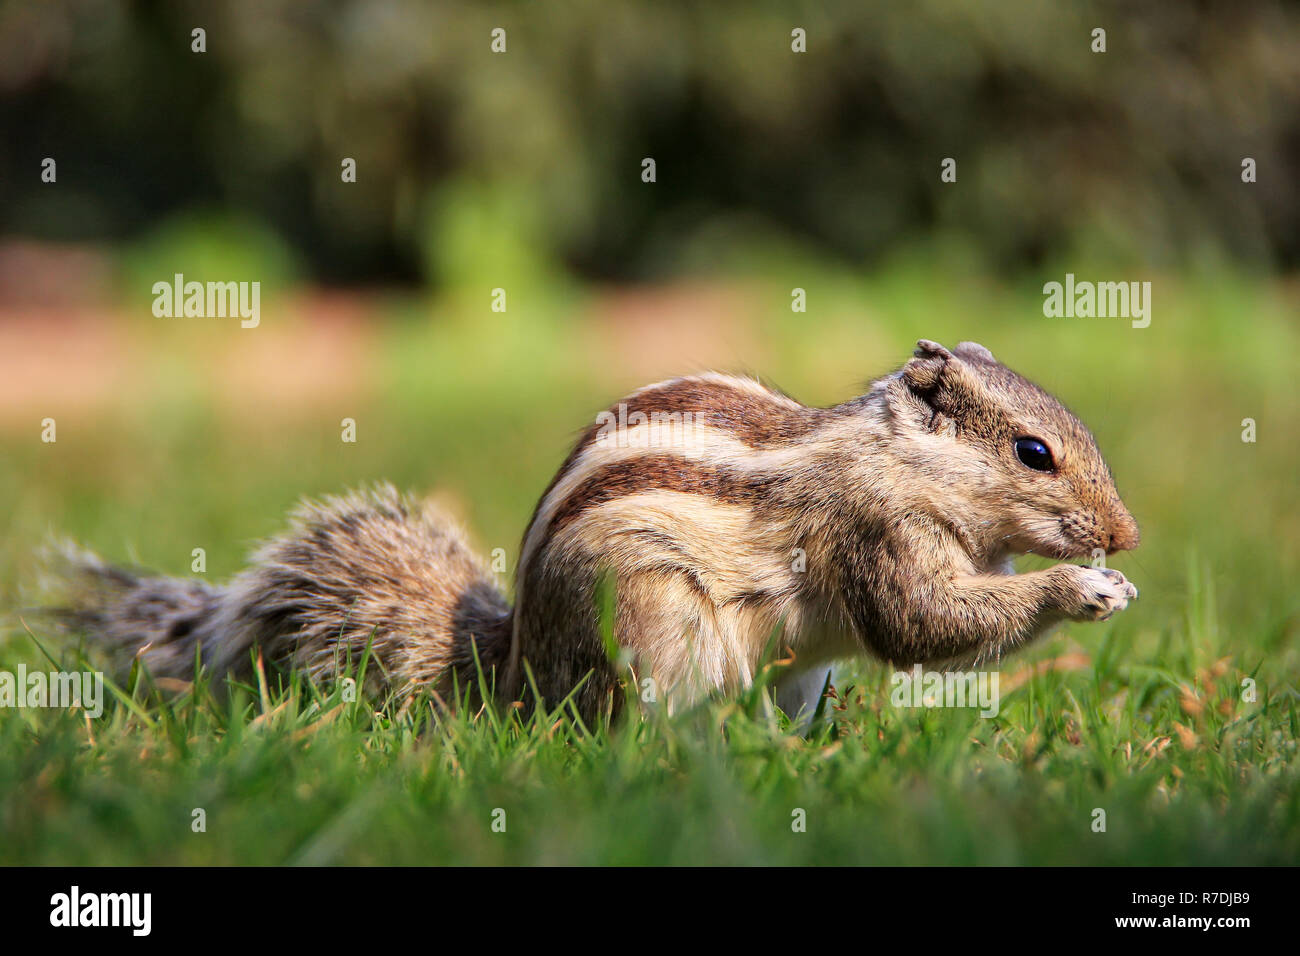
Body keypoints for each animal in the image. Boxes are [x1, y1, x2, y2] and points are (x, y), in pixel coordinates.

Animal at [43, 339, 1139, 723]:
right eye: (1033, 453)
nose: (1124, 537)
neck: (899, 460)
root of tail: (512, 667)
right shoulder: (874, 533)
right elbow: (925, 624)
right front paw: (1080, 590)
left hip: (793, 674)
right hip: (653, 624)